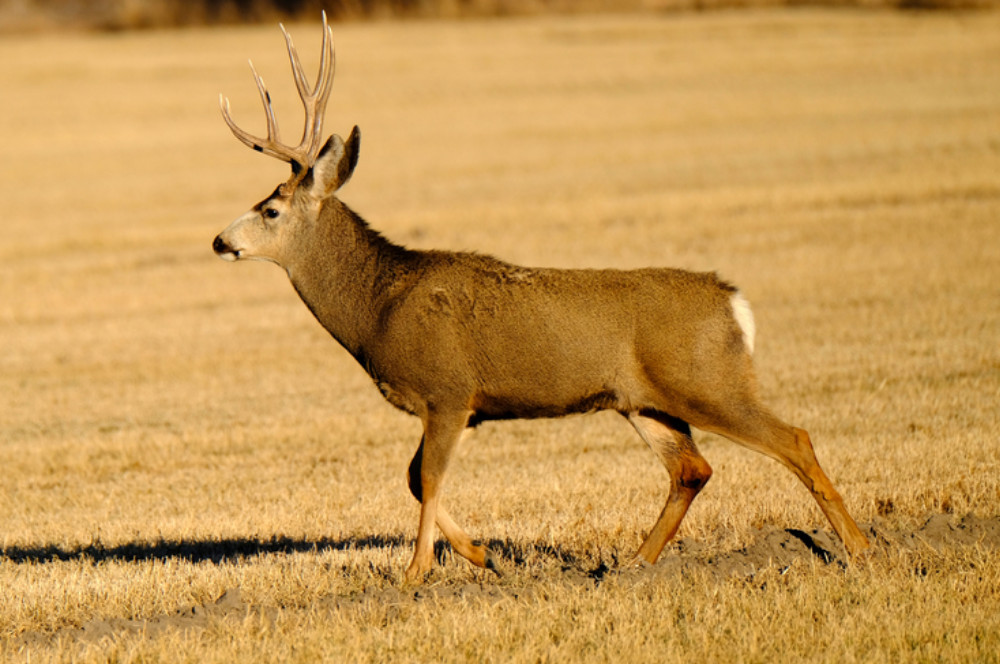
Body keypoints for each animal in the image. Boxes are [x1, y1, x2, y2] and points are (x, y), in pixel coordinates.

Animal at [212, 15, 870, 583]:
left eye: (270, 210)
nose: (220, 240)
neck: (379, 307)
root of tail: (734, 303)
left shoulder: (448, 391)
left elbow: (426, 479)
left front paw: (415, 572)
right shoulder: (463, 406)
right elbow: (415, 478)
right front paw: (483, 556)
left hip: (708, 380)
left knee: (793, 440)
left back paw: (860, 548)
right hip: (644, 400)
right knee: (693, 468)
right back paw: (635, 563)